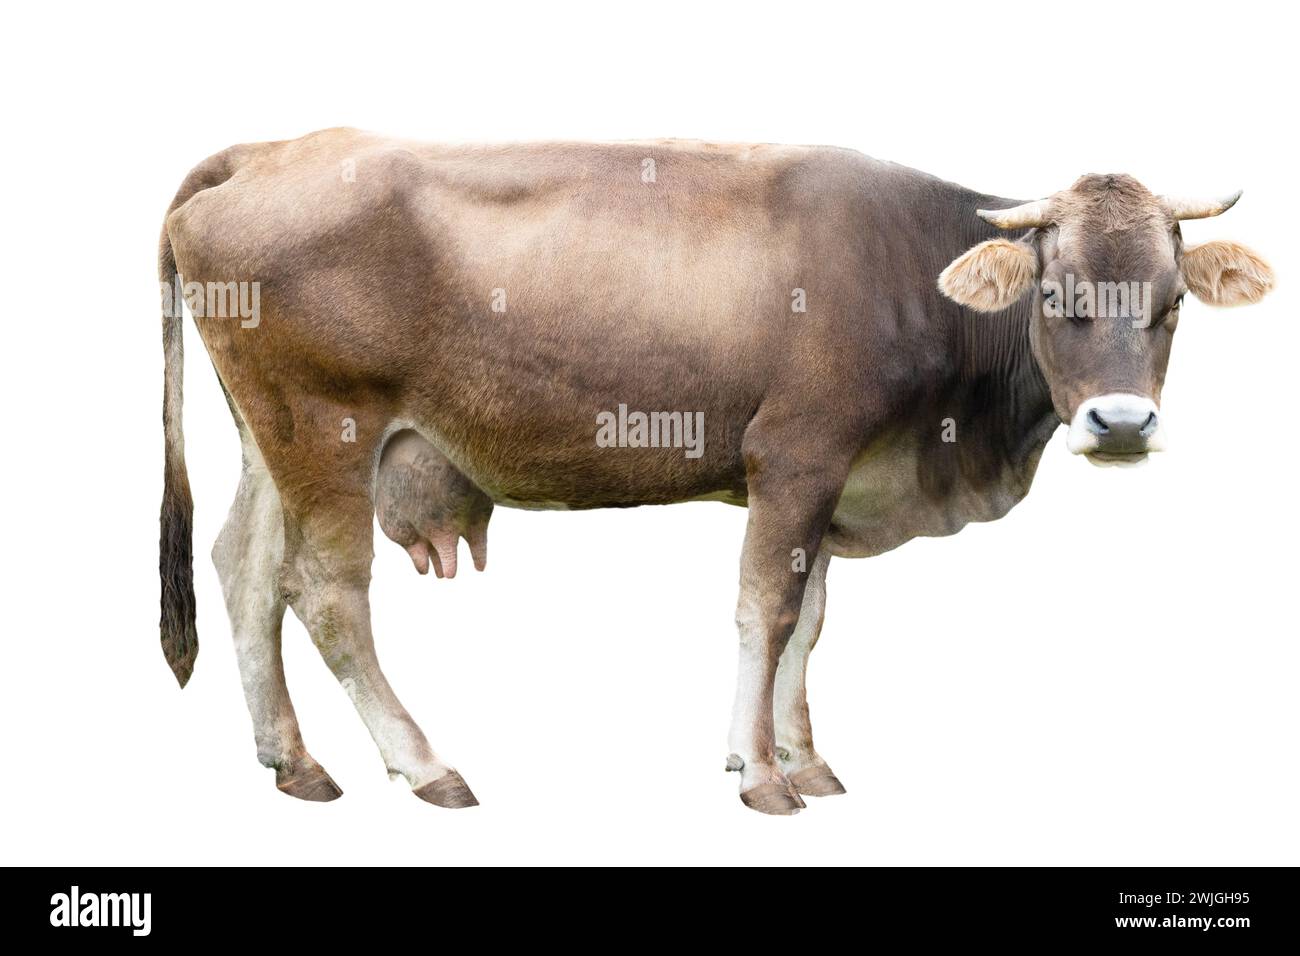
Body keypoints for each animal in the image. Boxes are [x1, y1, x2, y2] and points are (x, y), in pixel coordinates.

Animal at [159, 129, 1274, 814]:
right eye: (1058, 294)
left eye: (1173, 300)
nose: (1121, 422)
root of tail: (274, 150)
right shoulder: (798, 453)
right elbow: (765, 612)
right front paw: (762, 776)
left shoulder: (828, 482)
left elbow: (809, 621)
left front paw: (799, 755)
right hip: (329, 429)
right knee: (327, 594)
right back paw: (425, 764)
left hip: (271, 439)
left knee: (243, 571)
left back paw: (294, 760)